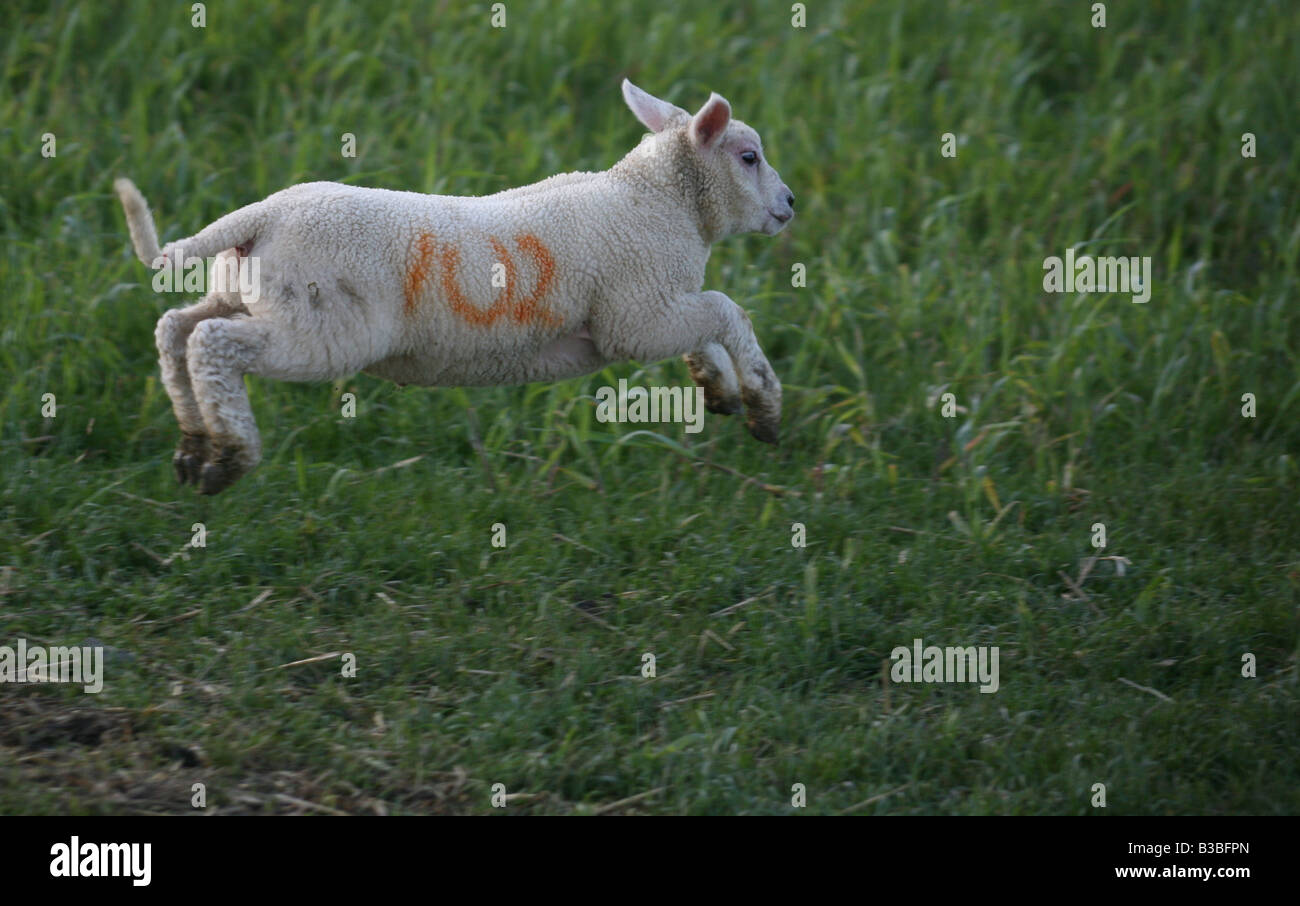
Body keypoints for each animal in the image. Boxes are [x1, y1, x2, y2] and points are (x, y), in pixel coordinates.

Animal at [115, 79, 795, 494]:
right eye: (750, 157)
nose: (789, 205)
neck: (659, 199)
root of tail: (263, 214)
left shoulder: (660, 304)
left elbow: (705, 322)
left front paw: (718, 389)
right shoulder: (635, 316)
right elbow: (724, 309)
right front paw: (762, 403)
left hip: (249, 291)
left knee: (176, 330)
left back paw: (192, 447)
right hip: (323, 327)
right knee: (212, 344)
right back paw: (230, 456)